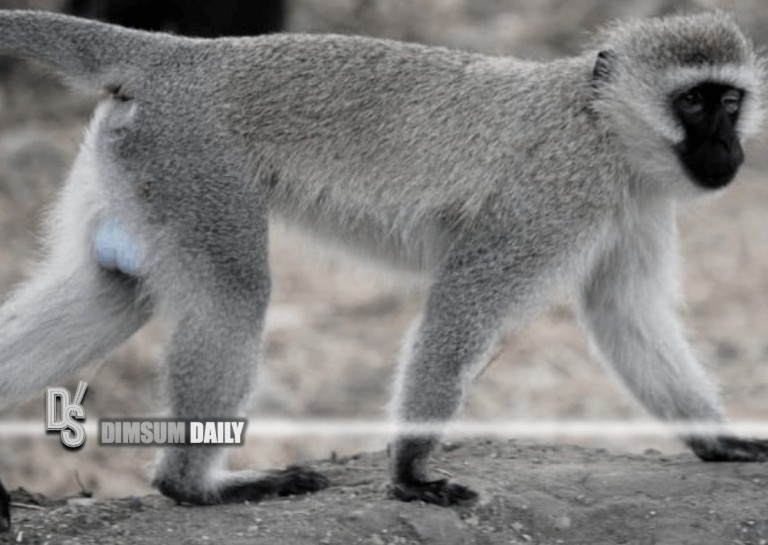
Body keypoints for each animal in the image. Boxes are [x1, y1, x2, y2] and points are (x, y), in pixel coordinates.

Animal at [0, 9, 765, 513]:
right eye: (694, 102)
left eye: (730, 101)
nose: (728, 149)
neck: (603, 125)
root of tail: (183, 56)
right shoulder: (558, 194)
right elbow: (466, 296)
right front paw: (412, 470)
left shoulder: (635, 205)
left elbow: (624, 313)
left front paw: (720, 440)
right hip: (190, 162)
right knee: (233, 295)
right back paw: (194, 486)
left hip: (139, 160)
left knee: (110, 291)